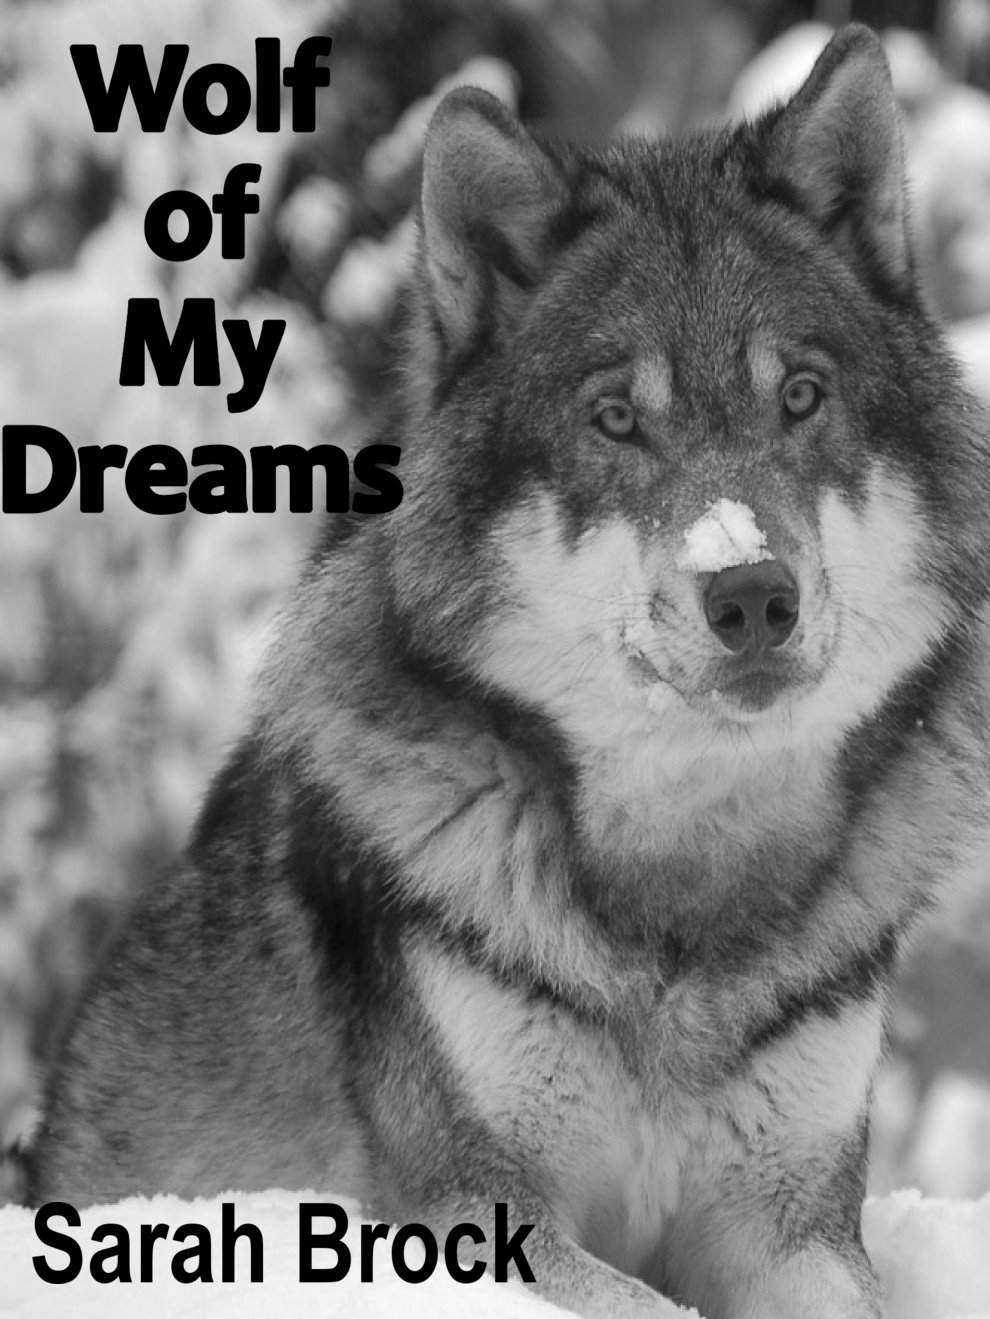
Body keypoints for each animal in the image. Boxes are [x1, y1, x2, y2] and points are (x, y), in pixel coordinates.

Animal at [29, 23, 990, 1319]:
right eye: (615, 419)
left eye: (802, 396)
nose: (751, 593)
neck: (684, 896)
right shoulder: (473, 1212)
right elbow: (650, 1306)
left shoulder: (793, 1225)